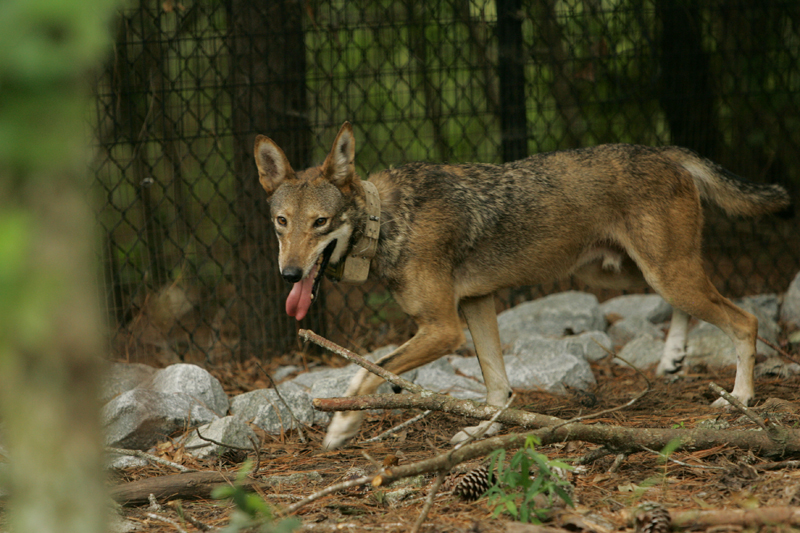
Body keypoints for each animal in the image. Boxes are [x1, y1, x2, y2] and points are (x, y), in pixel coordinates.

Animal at [254, 122, 791, 450]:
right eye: (282, 223)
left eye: (320, 224)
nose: (290, 275)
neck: (387, 220)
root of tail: (664, 150)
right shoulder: (476, 305)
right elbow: (499, 391)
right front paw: (482, 434)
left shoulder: (443, 328)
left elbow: (369, 373)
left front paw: (342, 426)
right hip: (631, 273)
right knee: (698, 309)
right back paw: (673, 357)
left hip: (666, 273)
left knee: (744, 319)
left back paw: (741, 398)